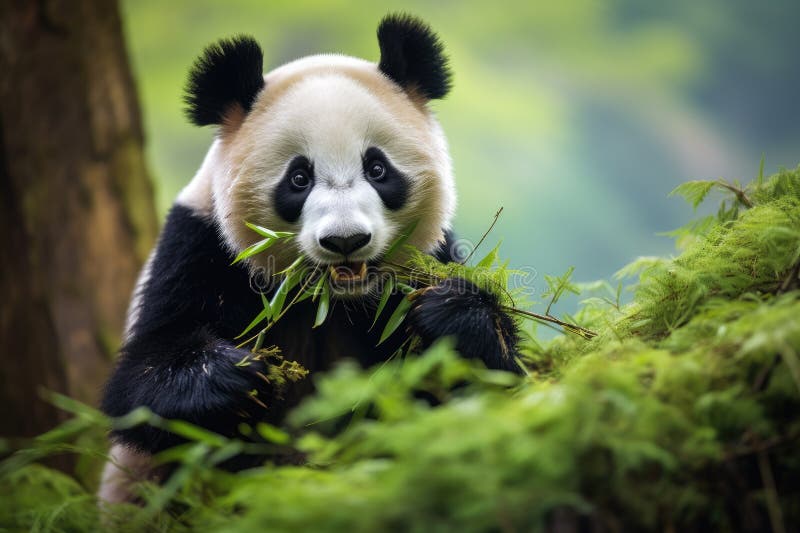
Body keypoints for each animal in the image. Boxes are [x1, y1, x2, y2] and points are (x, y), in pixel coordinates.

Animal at [99, 14, 522, 503]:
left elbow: (491, 382)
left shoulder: (428, 258)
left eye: (377, 169)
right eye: (298, 178)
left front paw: (451, 312)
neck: (335, 301)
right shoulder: (199, 247)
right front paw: (233, 375)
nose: (346, 240)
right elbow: (139, 384)